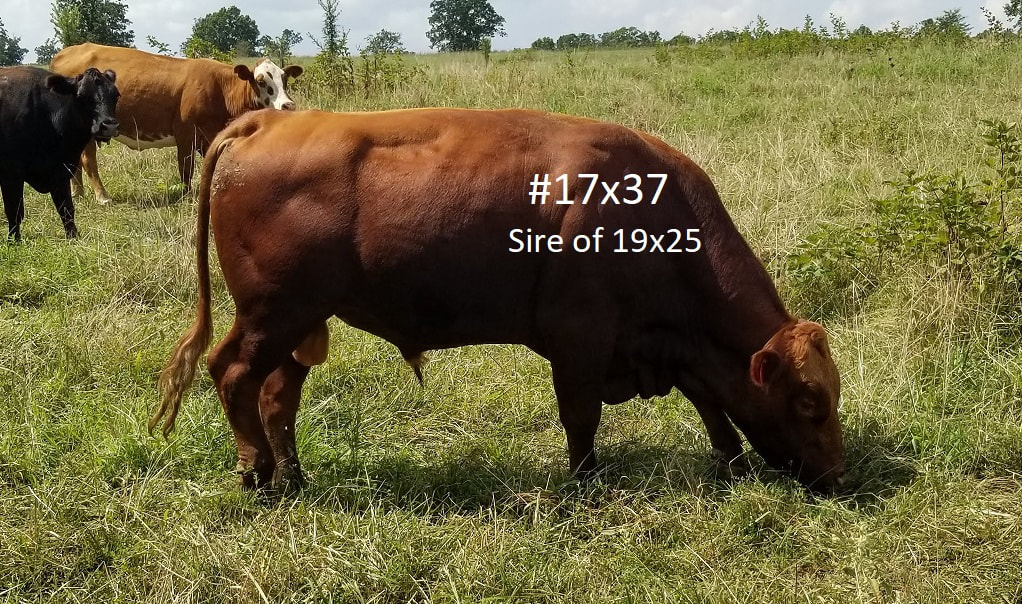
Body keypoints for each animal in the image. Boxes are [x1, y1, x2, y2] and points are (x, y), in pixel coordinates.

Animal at [0, 66, 119, 241]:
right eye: (80, 96)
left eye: (116, 95)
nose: (109, 125)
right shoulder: (11, 173)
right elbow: (14, 211)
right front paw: (14, 240)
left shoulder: (61, 169)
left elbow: (66, 208)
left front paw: (73, 237)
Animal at [50, 43, 302, 204]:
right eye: (260, 81)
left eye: (284, 79)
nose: (288, 105)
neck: (221, 89)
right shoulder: (186, 134)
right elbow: (186, 169)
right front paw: (186, 196)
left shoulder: (208, 138)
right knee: (88, 161)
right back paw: (102, 196)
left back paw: (78, 193)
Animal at [151, 108, 846, 494]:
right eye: (809, 401)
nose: (840, 477)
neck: (648, 208)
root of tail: (265, 121)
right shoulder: (580, 338)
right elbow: (582, 418)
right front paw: (586, 484)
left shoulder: (666, 344)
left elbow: (710, 400)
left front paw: (730, 462)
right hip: (271, 314)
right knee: (232, 372)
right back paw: (256, 474)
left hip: (300, 323)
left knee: (277, 394)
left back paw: (292, 476)